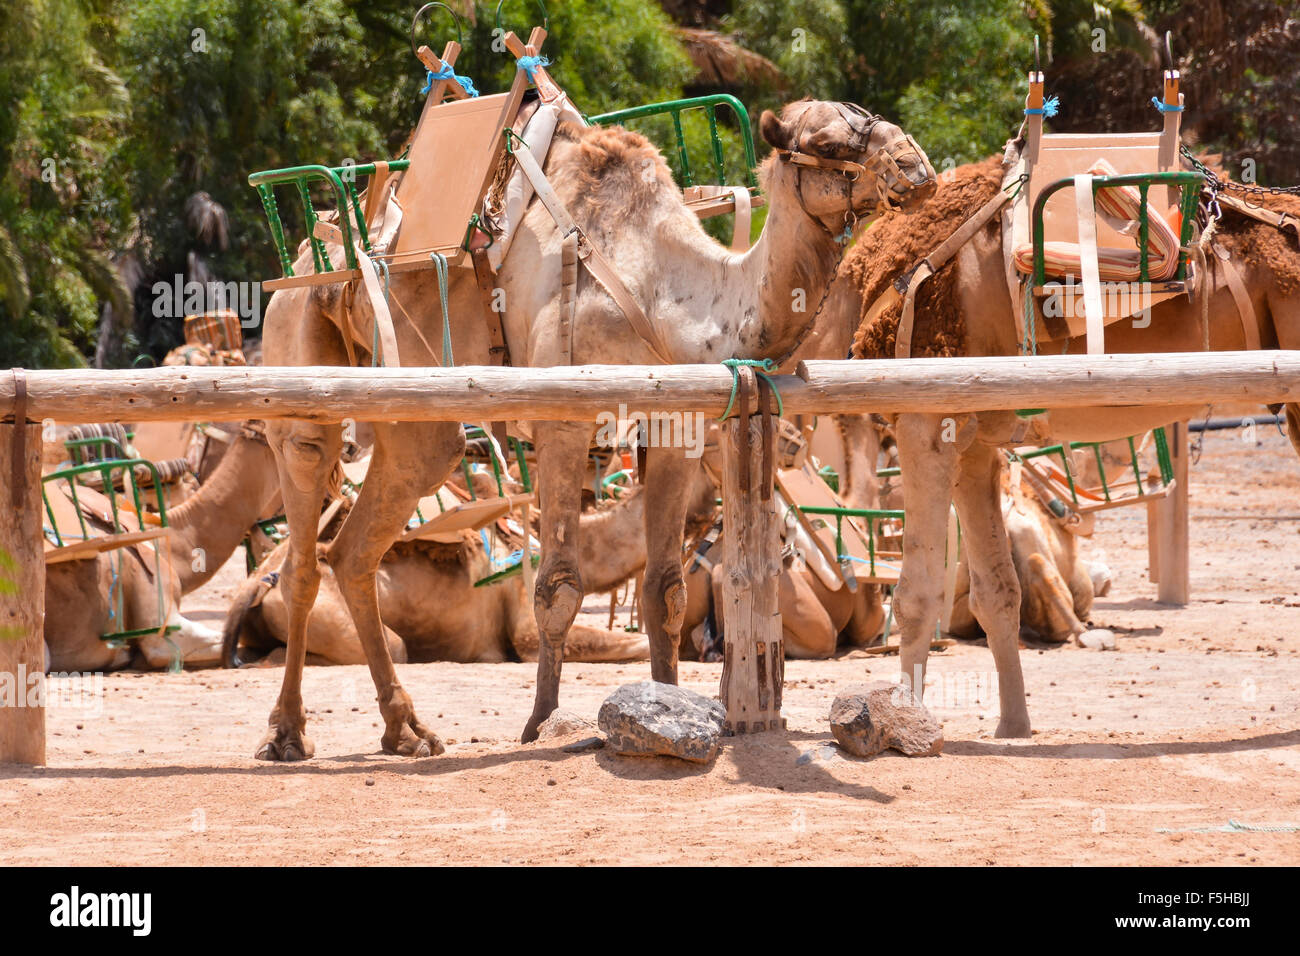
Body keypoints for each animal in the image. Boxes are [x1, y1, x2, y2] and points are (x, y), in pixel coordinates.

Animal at [256, 98, 935, 760]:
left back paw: (406, 731)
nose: (917, 167)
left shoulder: (675, 427)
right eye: (828, 141)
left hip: (415, 422)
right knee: (305, 549)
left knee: (355, 550)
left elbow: (665, 591)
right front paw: (543, 723)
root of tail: (305, 257)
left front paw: (668, 710)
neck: (664, 293)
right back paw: (286, 733)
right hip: (300, 367)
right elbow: (557, 587)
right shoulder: (564, 420)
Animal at [837, 153, 1300, 736]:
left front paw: (904, 726)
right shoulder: (973, 442)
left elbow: (917, 594)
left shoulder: (925, 422)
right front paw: (1013, 726)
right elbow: (997, 592)